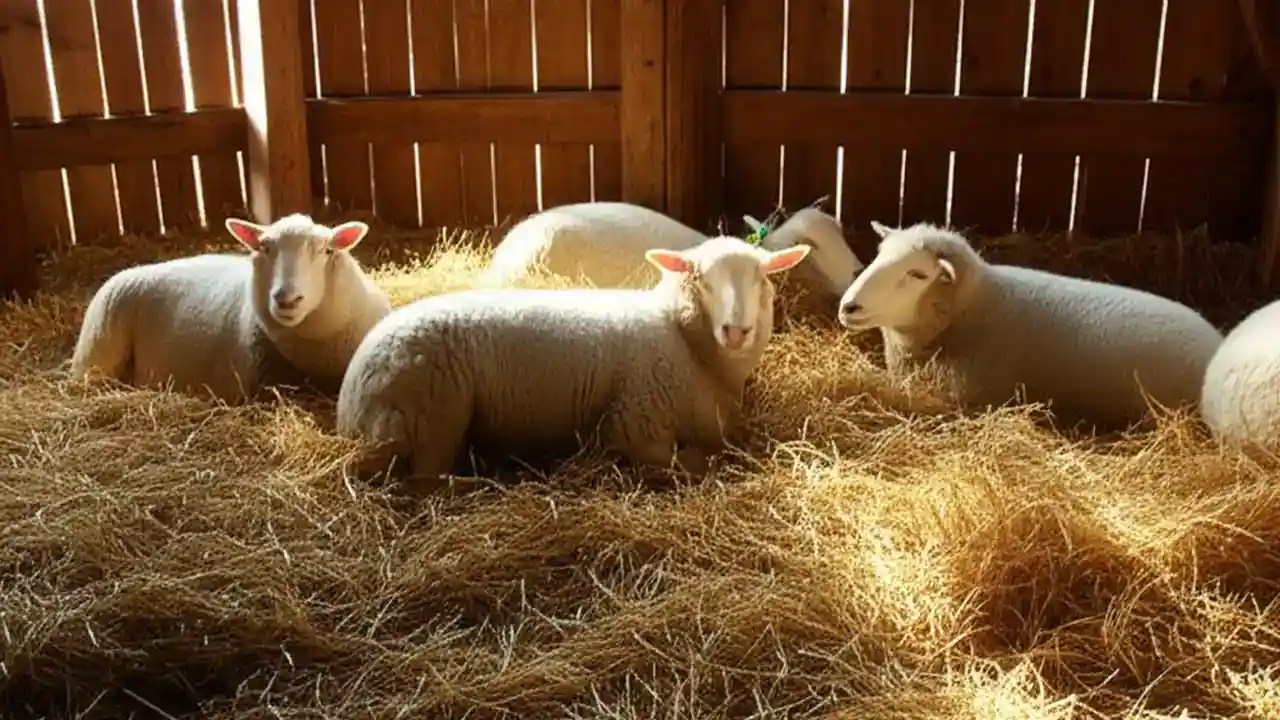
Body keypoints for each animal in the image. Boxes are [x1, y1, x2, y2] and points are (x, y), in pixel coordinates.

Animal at [337, 236, 812, 490]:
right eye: (703, 281)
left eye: (762, 279)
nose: (736, 331)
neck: (680, 336)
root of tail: (349, 399)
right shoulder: (636, 427)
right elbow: (687, 465)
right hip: (433, 421)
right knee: (425, 482)